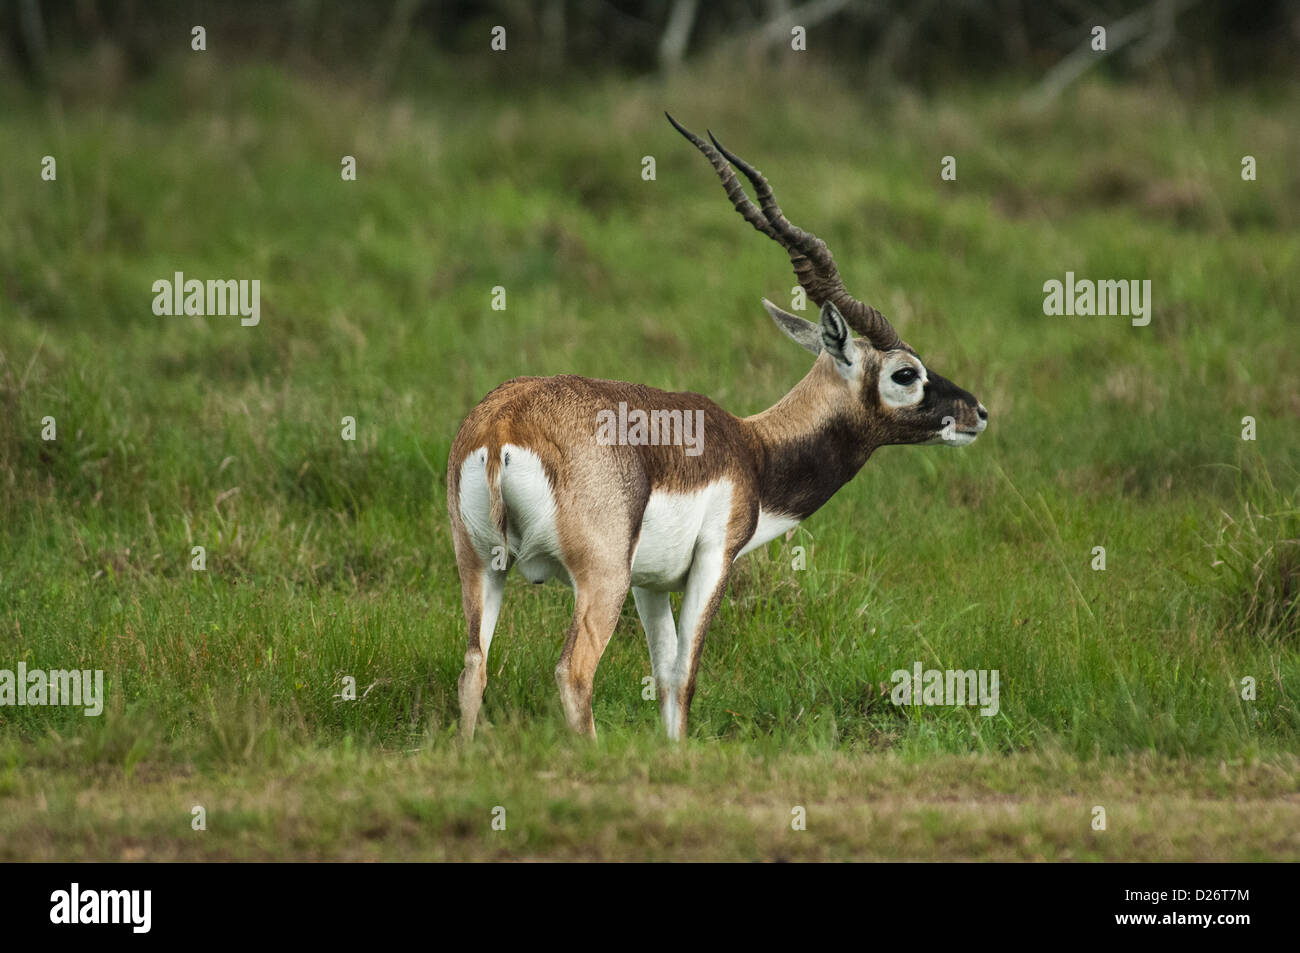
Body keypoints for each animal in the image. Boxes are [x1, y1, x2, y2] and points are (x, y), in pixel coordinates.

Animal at [447, 114, 987, 742]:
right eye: (906, 373)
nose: (976, 412)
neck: (754, 450)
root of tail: (503, 425)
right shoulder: (712, 561)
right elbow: (685, 676)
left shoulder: (650, 583)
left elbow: (662, 676)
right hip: (599, 578)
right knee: (572, 672)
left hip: (481, 565)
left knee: (473, 667)